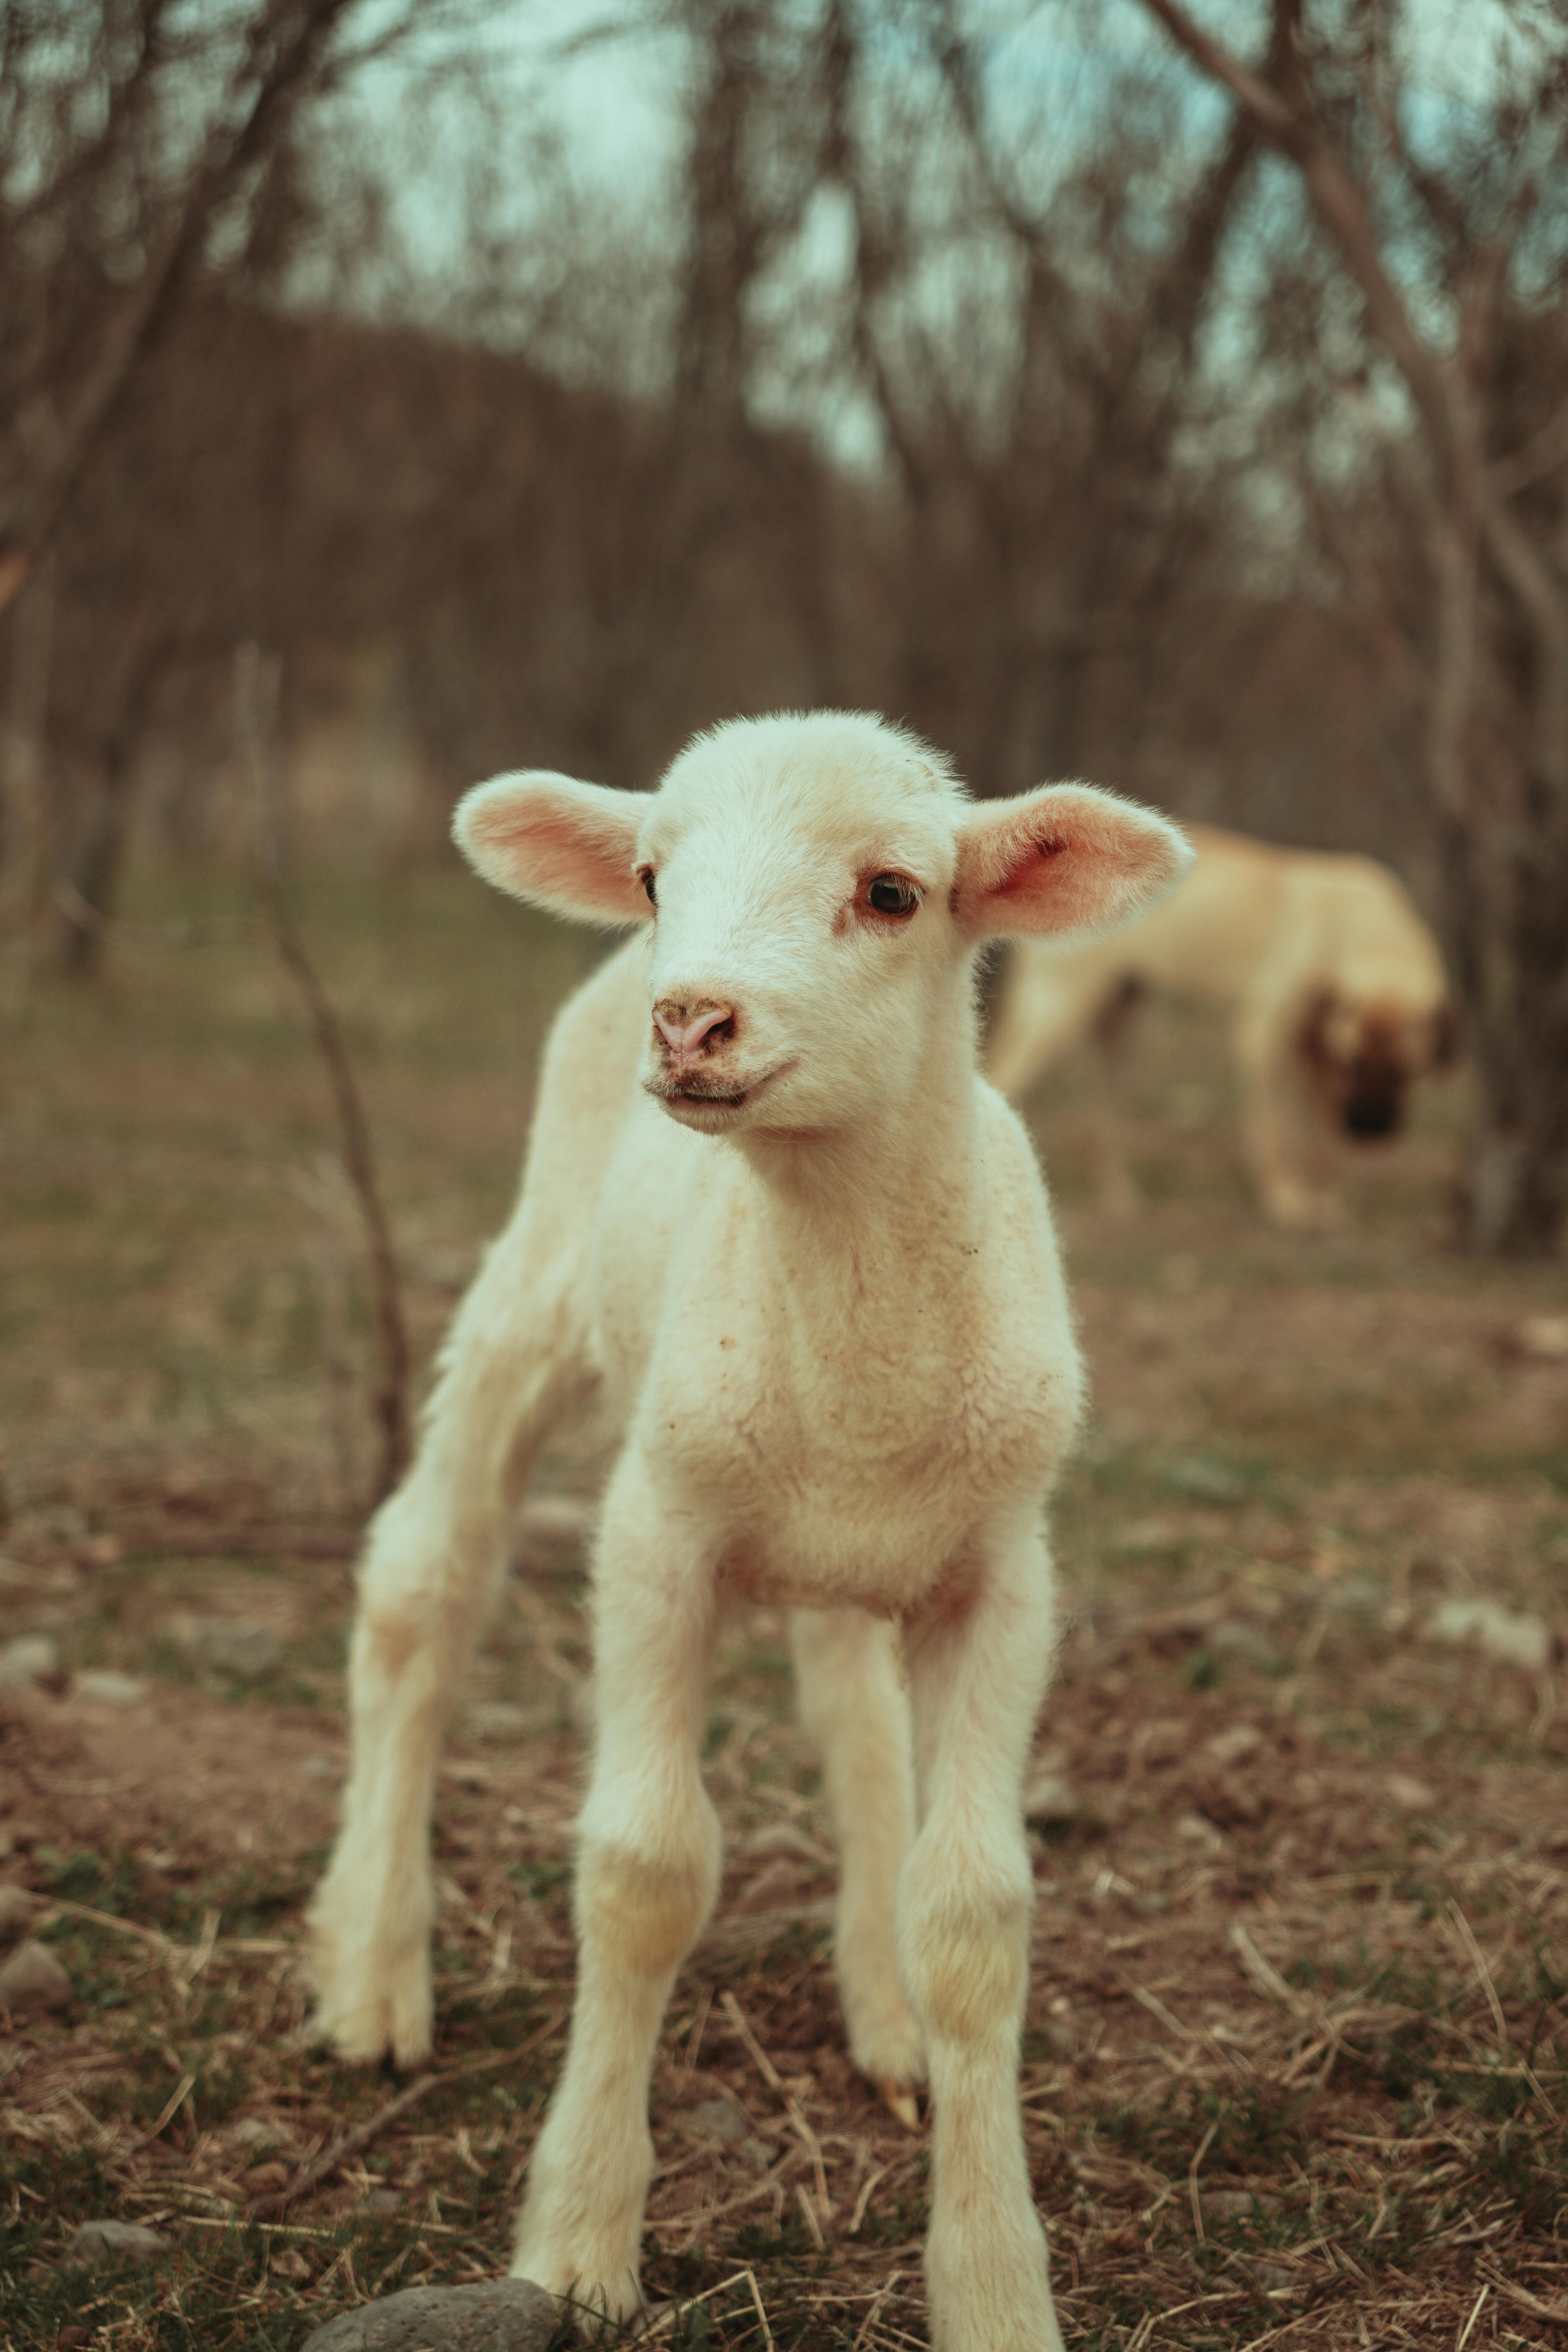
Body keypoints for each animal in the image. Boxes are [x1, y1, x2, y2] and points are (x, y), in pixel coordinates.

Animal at [308, 710, 1191, 2352]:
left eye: (895, 893)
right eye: (657, 875)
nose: (691, 1023)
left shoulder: (1001, 1575)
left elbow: (975, 1917)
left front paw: (994, 2286)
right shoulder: (657, 1536)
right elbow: (645, 1872)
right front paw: (579, 2243)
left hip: (845, 1547)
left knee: (851, 1721)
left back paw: (881, 2018)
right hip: (535, 1289)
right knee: (421, 1586)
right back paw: (374, 1975)